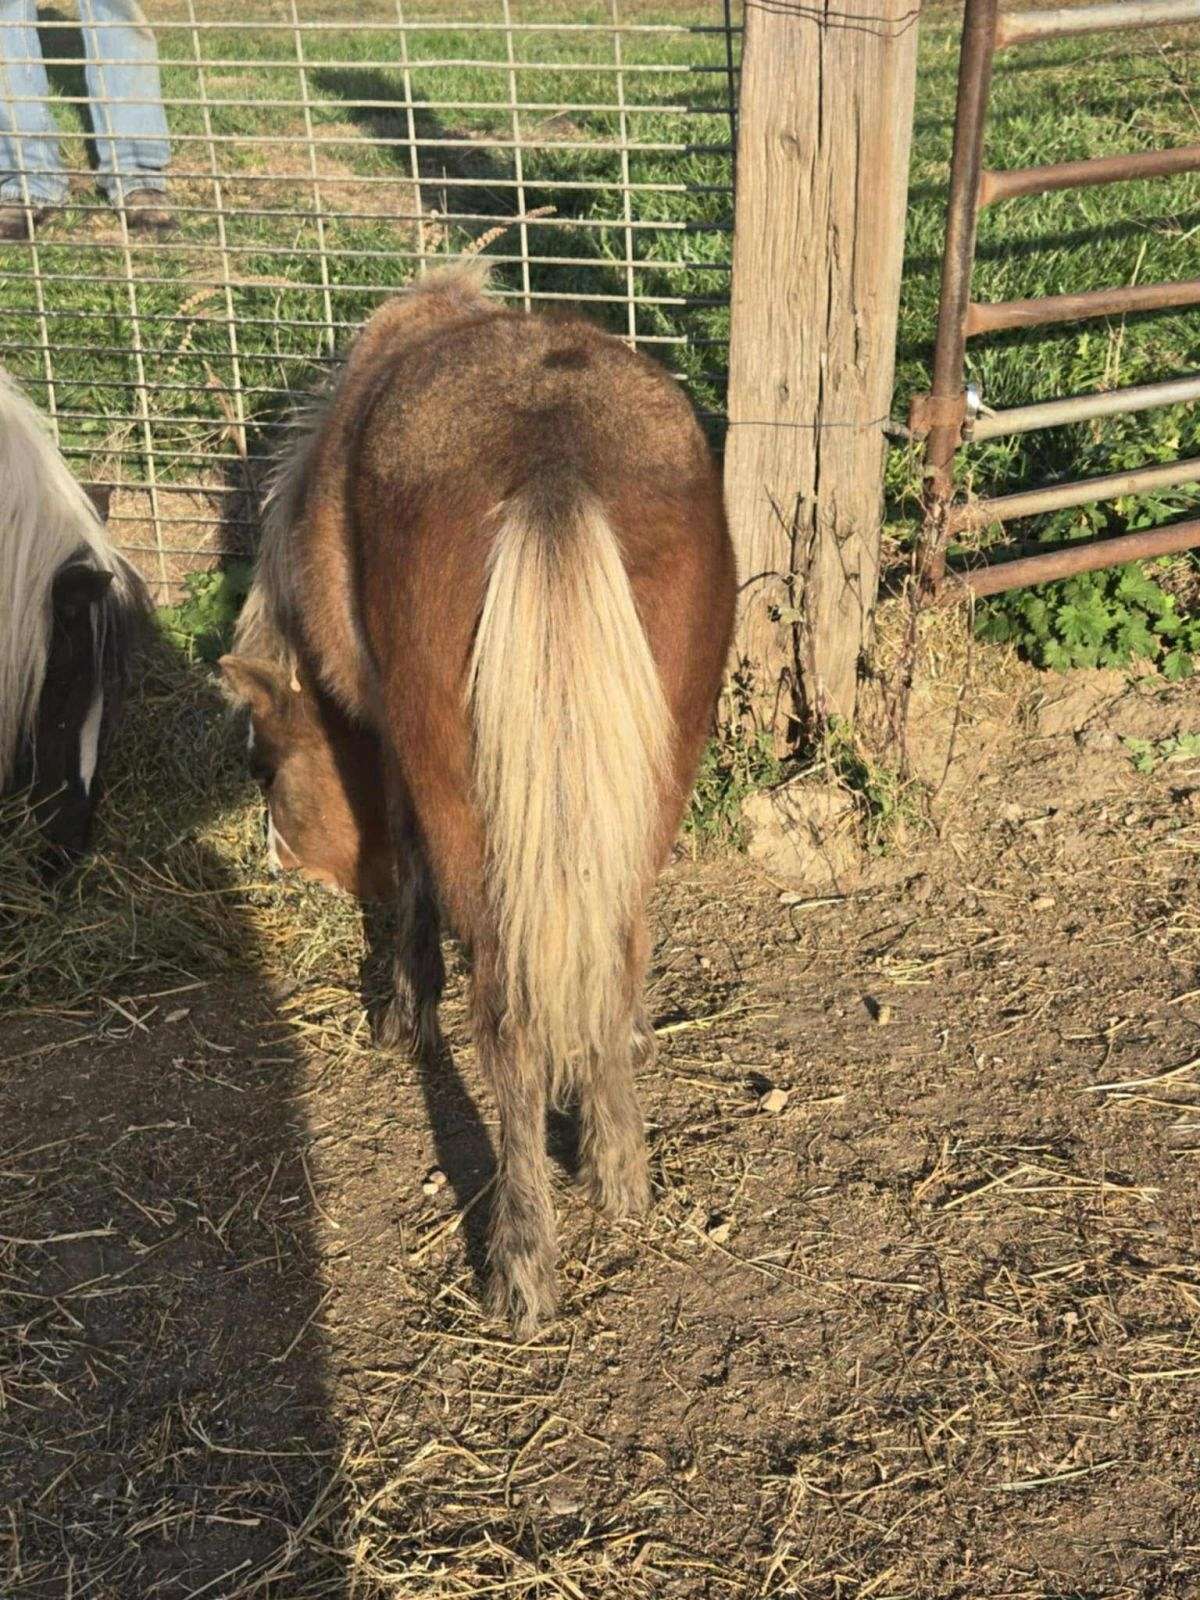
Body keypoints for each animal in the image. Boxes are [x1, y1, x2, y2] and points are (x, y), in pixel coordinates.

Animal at [219, 262, 737, 1336]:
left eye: (266, 766)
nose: (283, 861)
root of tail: (553, 458)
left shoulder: (395, 749)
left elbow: (412, 872)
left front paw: (401, 1008)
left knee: (507, 1025)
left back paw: (523, 1258)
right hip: (647, 796)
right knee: (613, 956)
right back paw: (618, 1171)